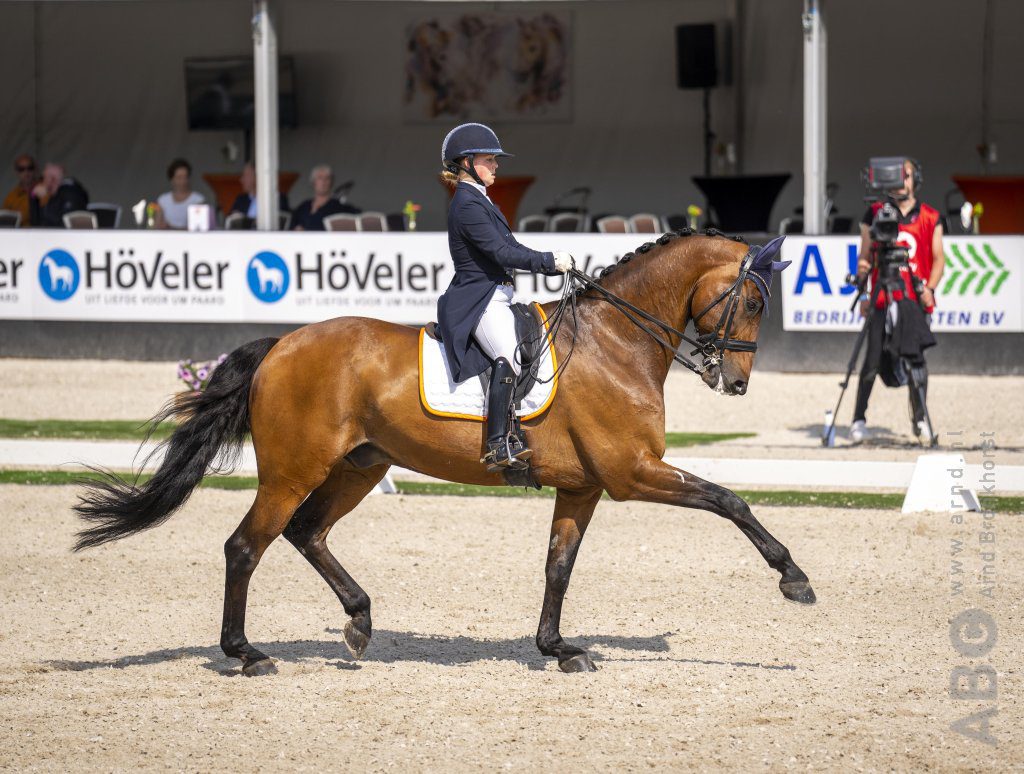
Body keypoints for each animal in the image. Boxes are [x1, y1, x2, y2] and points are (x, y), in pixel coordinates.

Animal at [74, 229, 816, 676]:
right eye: (752, 302)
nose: (737, 382)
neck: (615, 342)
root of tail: (281, 344)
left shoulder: (584, 486)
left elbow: (559, 567)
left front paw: (558, 649)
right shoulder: (633, 474)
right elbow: (729, 500)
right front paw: (793, 578)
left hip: (360, 466)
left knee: (305, 532)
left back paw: (359, 622)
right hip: (292, 469)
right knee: (245, 546)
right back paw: (247, 653)